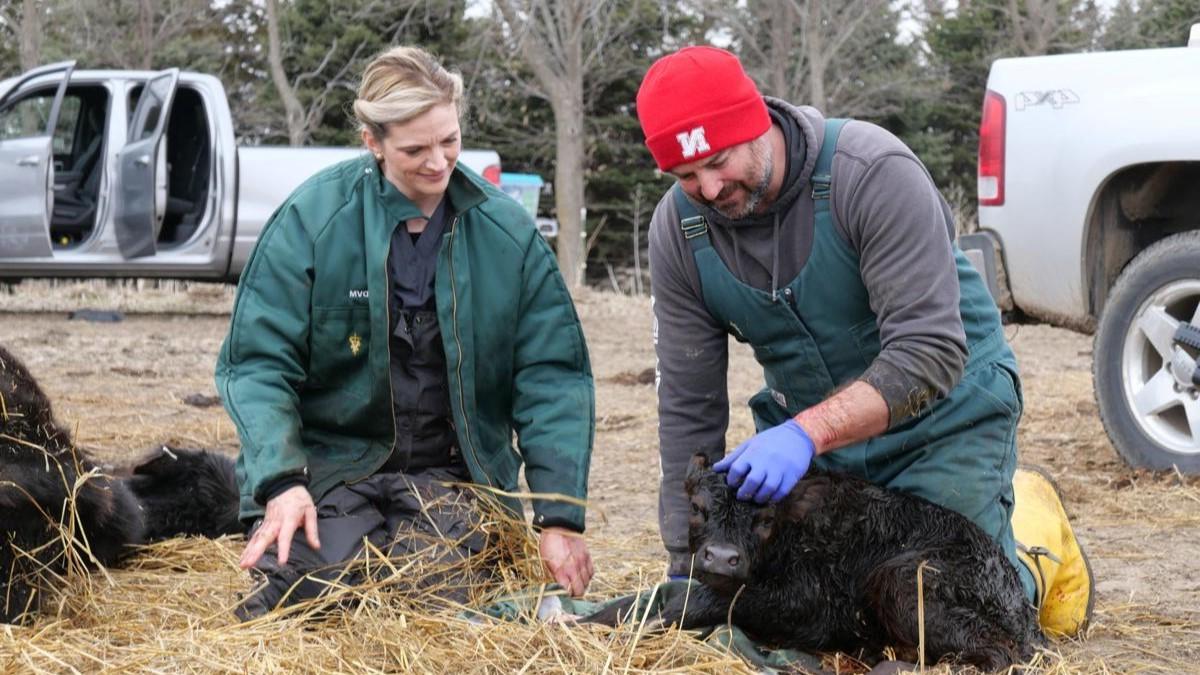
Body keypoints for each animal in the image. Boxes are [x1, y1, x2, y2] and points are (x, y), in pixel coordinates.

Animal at [585, 451, 1046, 667]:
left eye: (766, 519)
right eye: (697, 508)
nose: (722, 557)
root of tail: (1023, 610)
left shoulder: (811, 605)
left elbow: (703, 601)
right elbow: (643, 600)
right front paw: (585, 620)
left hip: (904, 581)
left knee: (1000, 653)